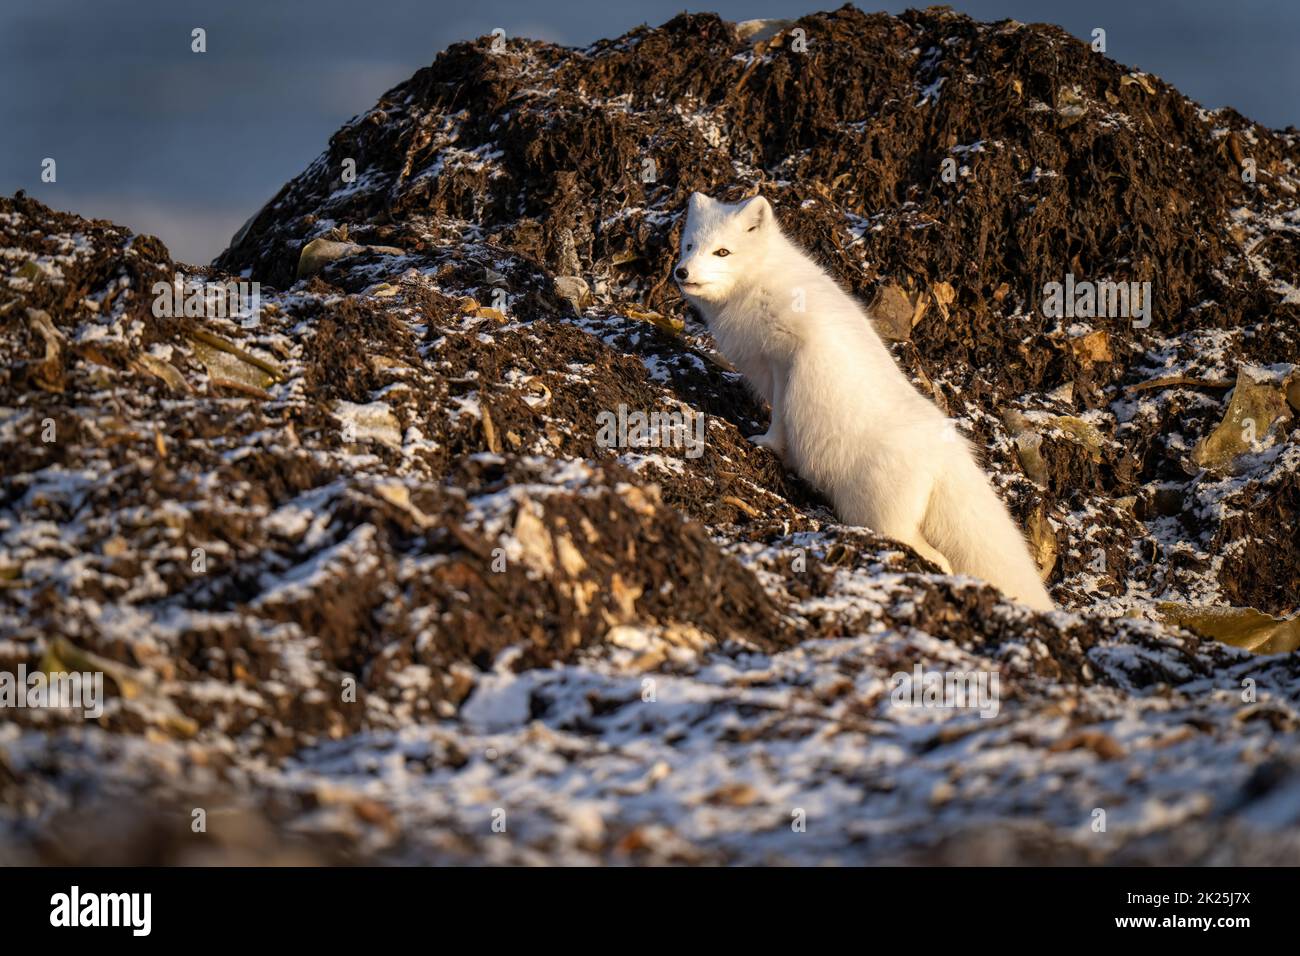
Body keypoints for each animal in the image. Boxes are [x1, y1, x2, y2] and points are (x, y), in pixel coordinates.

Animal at [674, 192, 1054, 611]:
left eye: (723, 252)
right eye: (690, 245)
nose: (682, 272)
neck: (758, 284)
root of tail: (946, 448)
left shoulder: (788, 362)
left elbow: (781, 417)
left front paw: (767, 444)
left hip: (877, 513)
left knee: (933, 554)